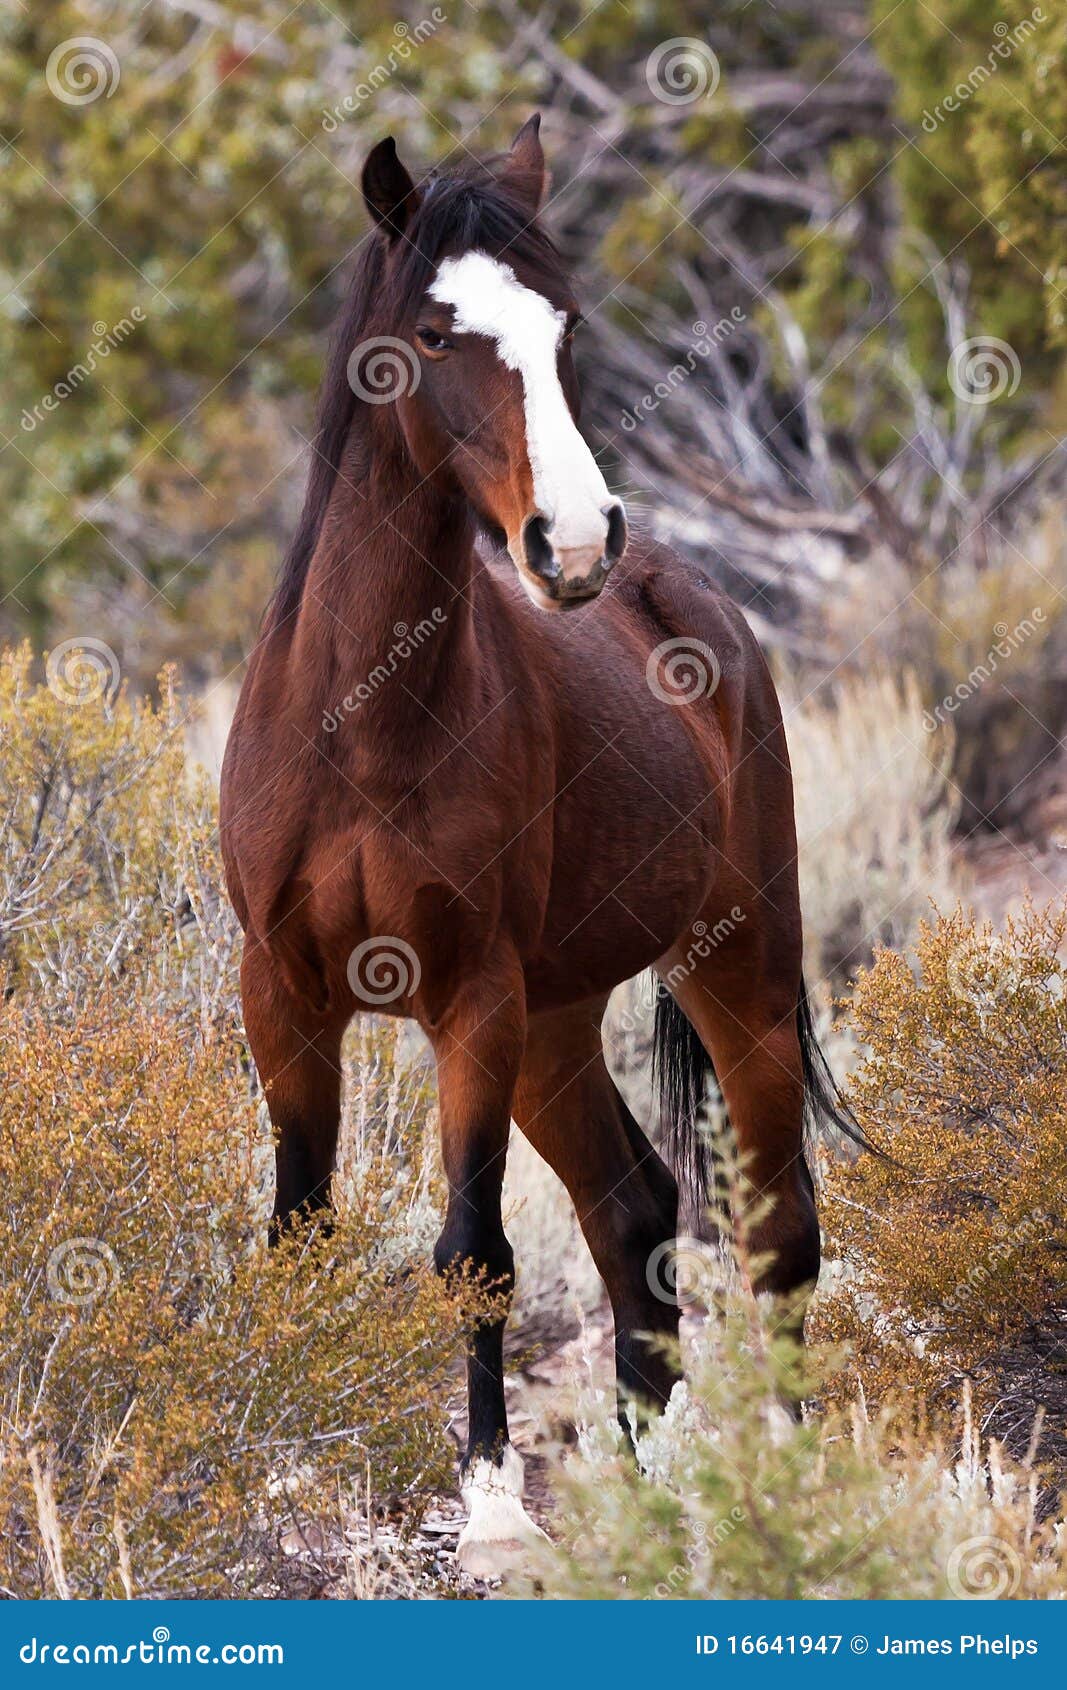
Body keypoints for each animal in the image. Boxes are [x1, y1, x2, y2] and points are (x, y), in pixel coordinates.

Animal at [220, 115, 849, 1578]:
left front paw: (496, 1509)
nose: (570, 541)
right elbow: (300, 1229)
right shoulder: (284, 993)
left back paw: (777, 1489)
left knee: (777, 1227)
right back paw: (646, 1484)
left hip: (731, 968)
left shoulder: (470, 1000)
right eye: (433, 333)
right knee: (635, 1216)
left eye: (562, 325)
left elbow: (473, 1249)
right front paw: (283, 1473)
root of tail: (693, 598)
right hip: (560, 1023)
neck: (361, 710)